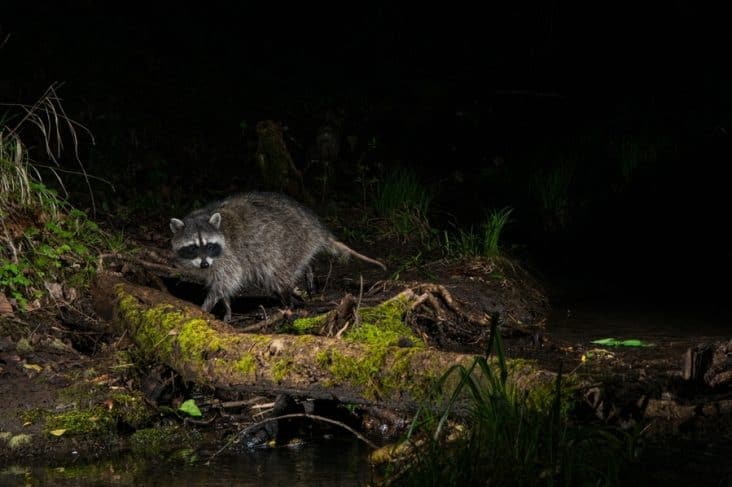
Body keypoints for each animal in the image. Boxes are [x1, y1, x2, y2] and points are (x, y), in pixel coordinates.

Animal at [170, 192, 386, 322]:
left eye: (209, 246)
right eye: (193, 248)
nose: (204, 264)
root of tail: (315, 227)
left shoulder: (230, 256)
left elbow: (227, 281)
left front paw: (207, 305)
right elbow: (223, 286)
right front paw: (227, 306)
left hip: (289, 244)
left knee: (278, 275)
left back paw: (288, 301)